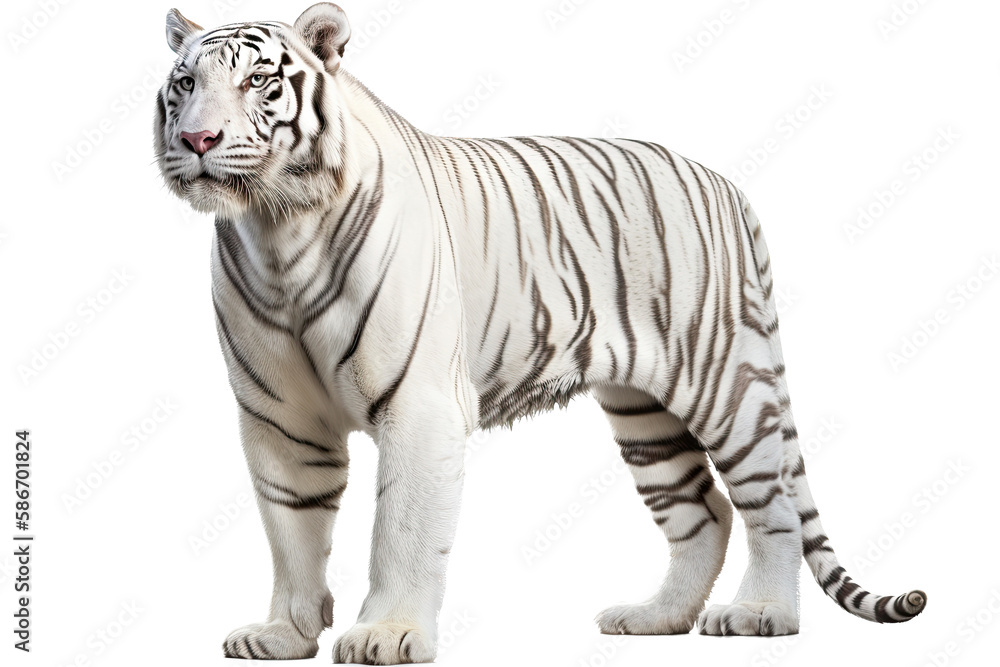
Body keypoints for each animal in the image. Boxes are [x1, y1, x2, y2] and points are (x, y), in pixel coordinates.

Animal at [154, 3, 926, 664]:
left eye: (257, 81)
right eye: (186, 83)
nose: (197, 139)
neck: (277, 227)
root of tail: (723, 183)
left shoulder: (420, 406)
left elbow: (400, 530)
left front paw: (387, 633)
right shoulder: (278, 419)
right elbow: (291, 529)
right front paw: (282, 634)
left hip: (724, 379)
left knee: (772, 504)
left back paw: (761, 614)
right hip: (644, 412)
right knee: (703, 511)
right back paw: (654, 617)